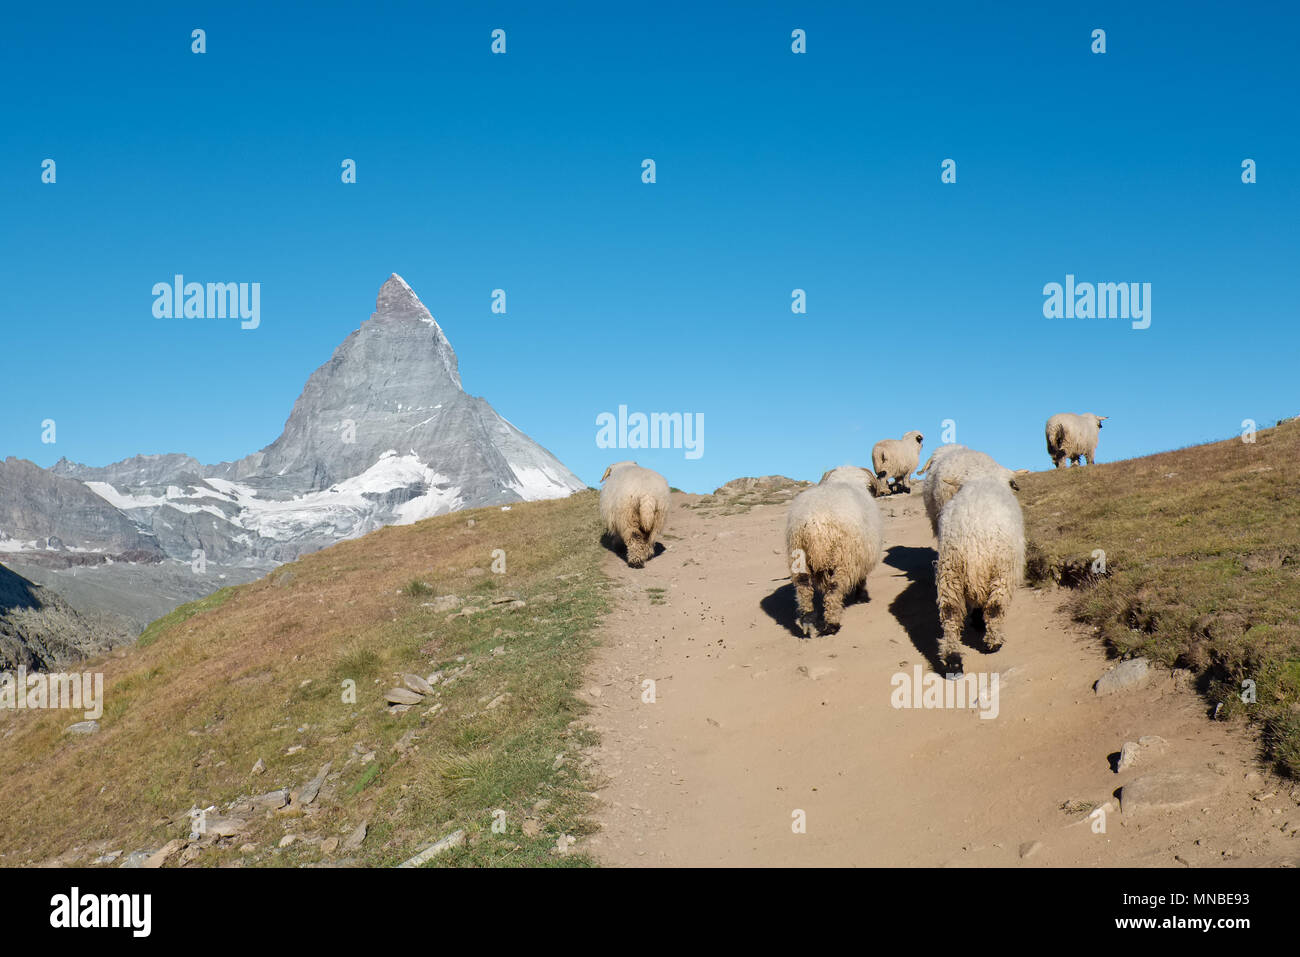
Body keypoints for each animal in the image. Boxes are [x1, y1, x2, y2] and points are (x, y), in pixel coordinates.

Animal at [785, 466, 884, 638]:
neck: (846, 480)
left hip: (798, 555)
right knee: (834, 590)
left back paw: (808, 622)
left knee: (803, 588)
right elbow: (862, 579)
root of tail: (815, 524)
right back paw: (832, 624)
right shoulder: (859, 559)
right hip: (843, 559)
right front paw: (862, 597)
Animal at [934, 473, 1025, 672]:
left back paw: (953, 659)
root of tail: (973, 536)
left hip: (949, 569)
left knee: (950, 613)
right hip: (1001, 570)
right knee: (995, 608)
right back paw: (993, 642)